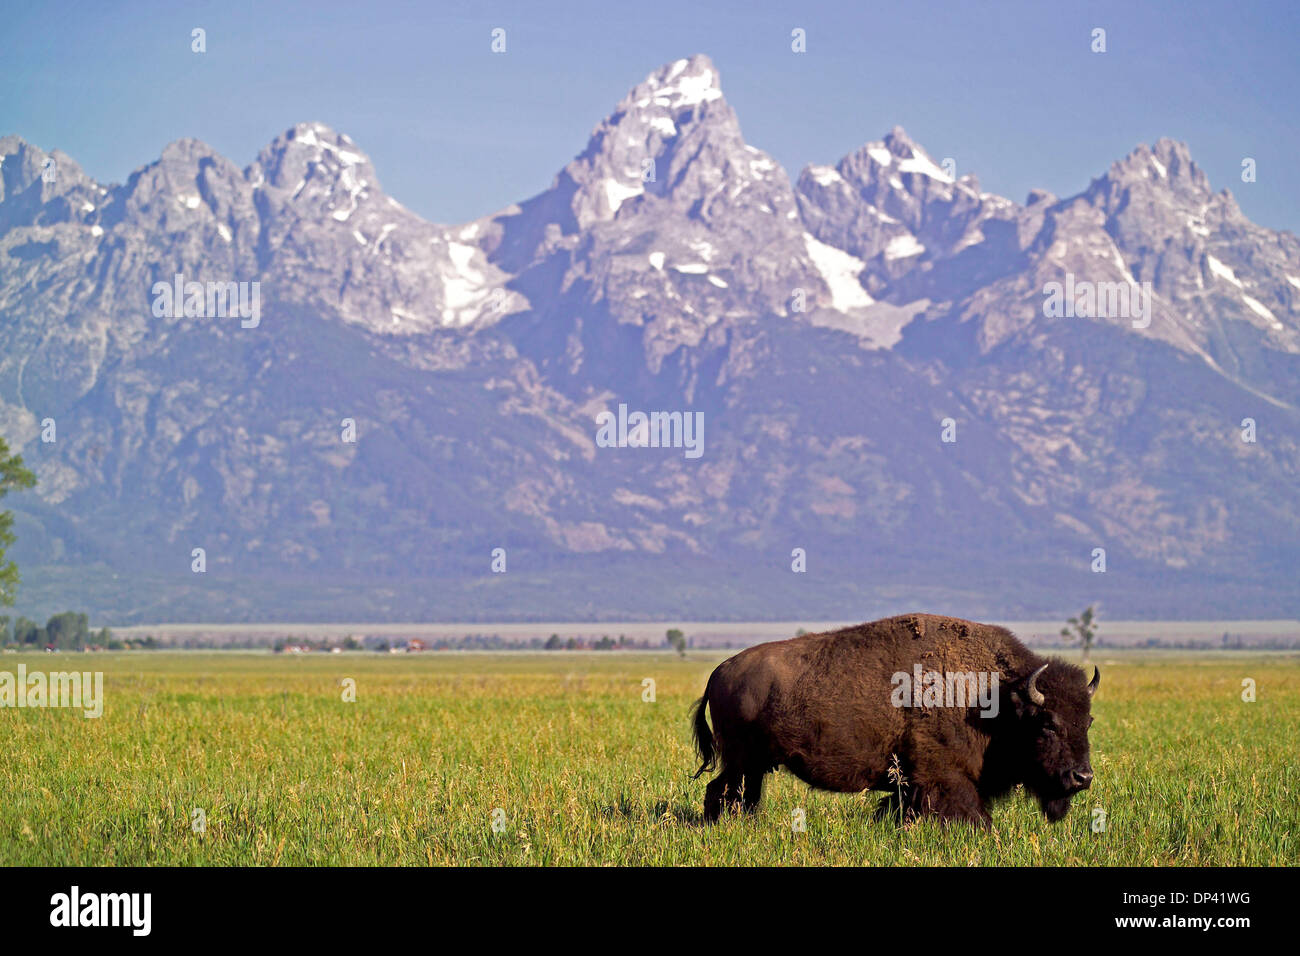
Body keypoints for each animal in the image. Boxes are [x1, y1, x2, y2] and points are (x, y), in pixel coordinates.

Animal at [691, 613, 1099, 827]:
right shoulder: (945, 777)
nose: (1083, 777)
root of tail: (720, 671)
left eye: (1088, 722)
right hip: (740, 761)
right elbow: (972, 813)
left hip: (753, 764)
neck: (995, 697)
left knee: (736, 793)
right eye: (1047, 723)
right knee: (722, 791)